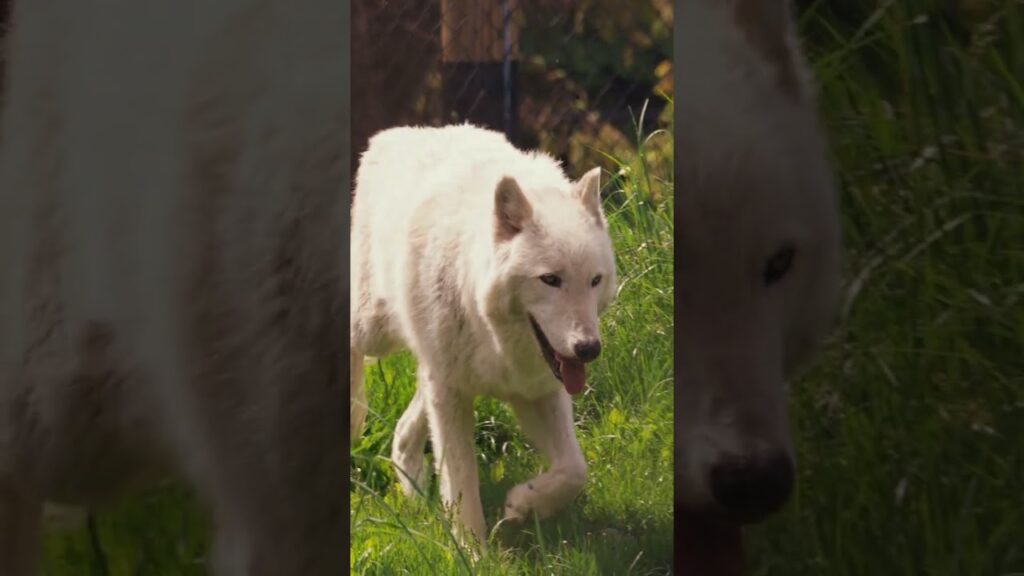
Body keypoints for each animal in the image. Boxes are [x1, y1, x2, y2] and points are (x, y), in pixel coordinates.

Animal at [350, 124, 617, 547]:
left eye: (594, 280)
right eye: (550, 280)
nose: (588, 349)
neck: (496, 336)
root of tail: (394, 134)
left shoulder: (536, 392)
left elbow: (575, 470)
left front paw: (522, 505)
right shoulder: (452, 394)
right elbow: (462, 483)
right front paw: (472, 552)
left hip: (431, 364)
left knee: (404, 434)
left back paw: (417, 497)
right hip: (374, 329)